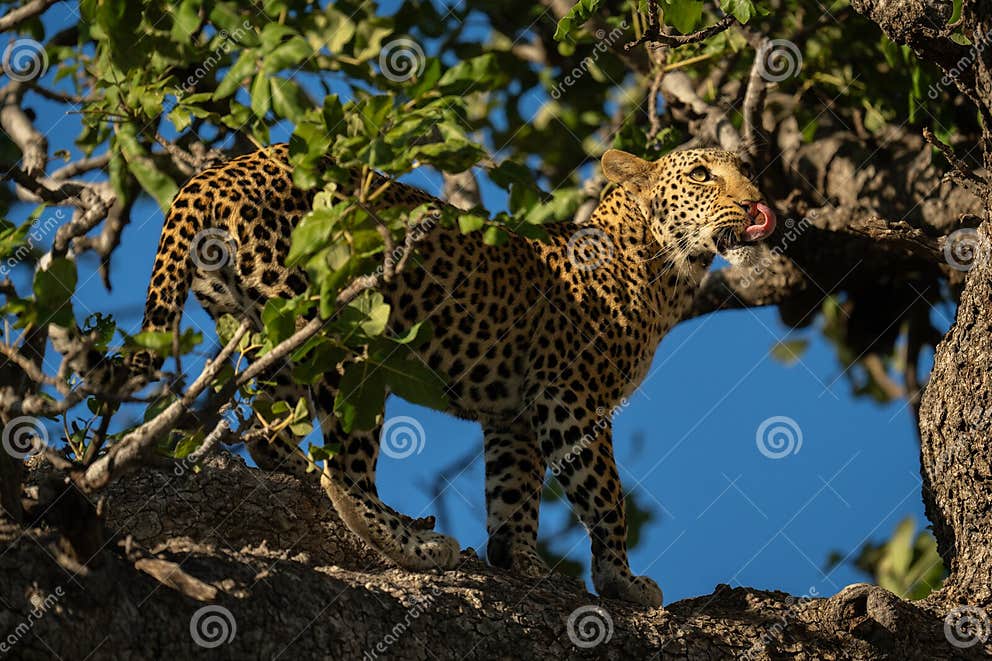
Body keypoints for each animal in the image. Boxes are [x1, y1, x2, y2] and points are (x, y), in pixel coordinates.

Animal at [132, 143, 776, 607]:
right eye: (702, 175)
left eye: (746, 172)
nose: (756, 206)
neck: (663, 270)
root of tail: (220, 171)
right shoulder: (571, 399)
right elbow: (606, 494)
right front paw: (621, 580)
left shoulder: (516, 415)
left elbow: (514, 494)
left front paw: (522, 562)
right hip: (344, 334)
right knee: (344, 474)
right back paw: (413, 543)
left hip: (265, 329)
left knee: (268, 432)